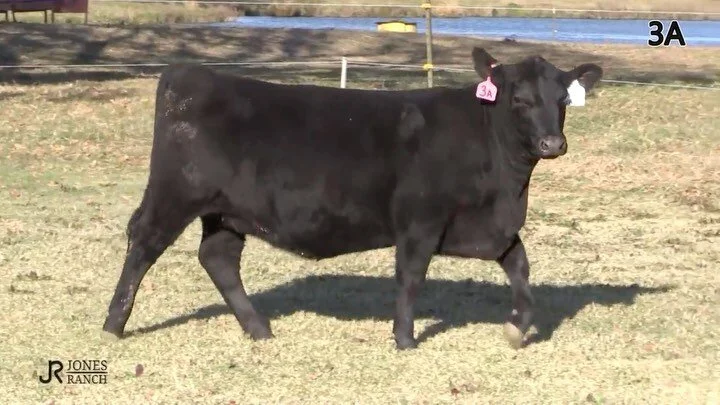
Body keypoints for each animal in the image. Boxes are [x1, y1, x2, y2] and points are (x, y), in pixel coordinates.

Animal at [102, 47, 602, 350]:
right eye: (518, 99)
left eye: (563, 99)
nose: (552, 144)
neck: (505, 188)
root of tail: (188, 73)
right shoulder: (418, 221)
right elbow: (411, 278)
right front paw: (404, 339)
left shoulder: (489, 227)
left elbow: (520, 266)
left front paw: (517, 328)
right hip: (174, 195)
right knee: (143, 245)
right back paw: (113, 325)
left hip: (225, 212)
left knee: (218, 259)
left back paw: (259, 329)